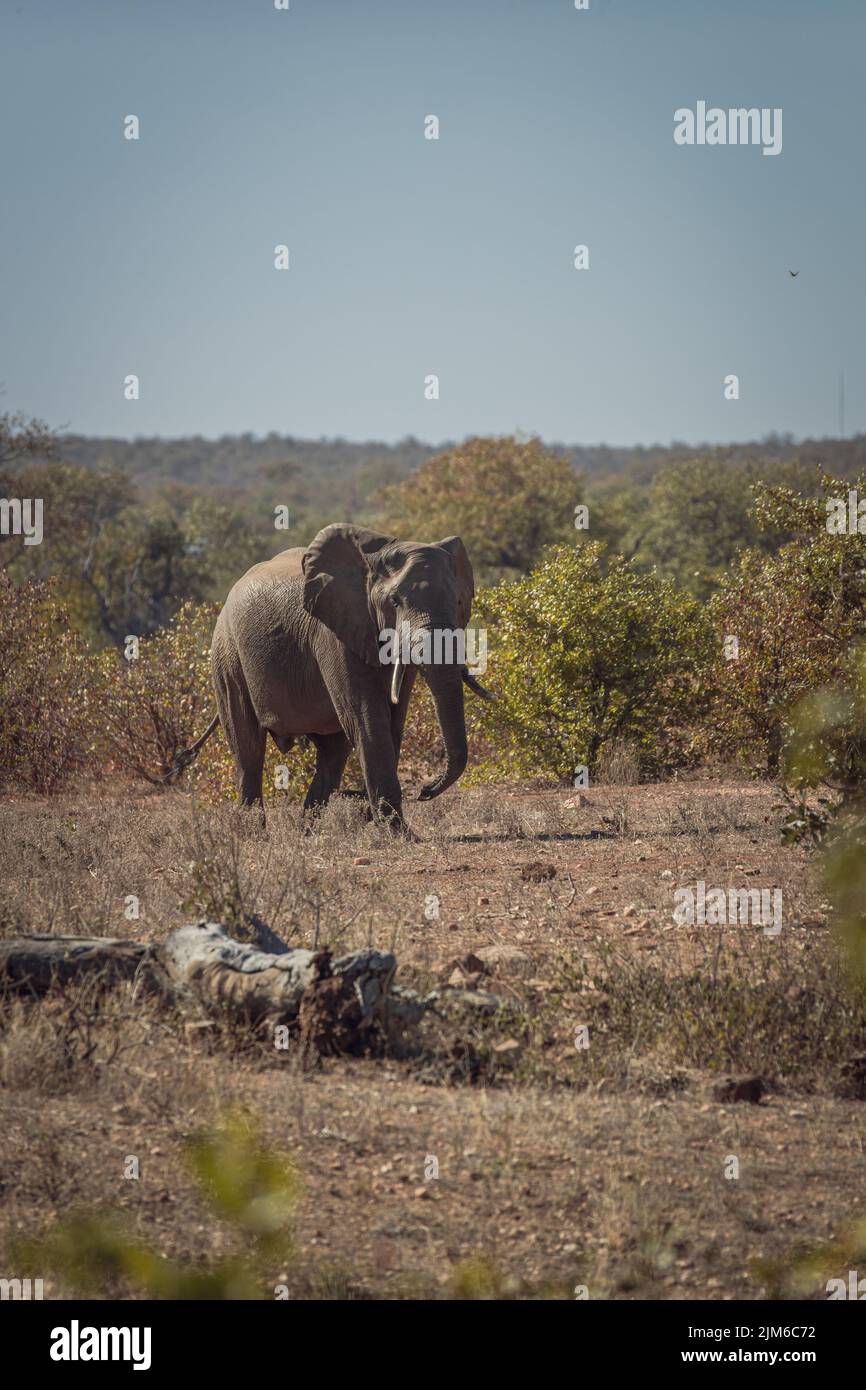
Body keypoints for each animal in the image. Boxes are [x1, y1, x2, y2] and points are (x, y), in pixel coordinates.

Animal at [171, 523, 494, 832]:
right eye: (395, 600)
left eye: (460, 601)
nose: (425, 790)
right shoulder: (333, 634)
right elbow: (366, 718)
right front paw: (401, 835)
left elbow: (392, 721)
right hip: (227, 654)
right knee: (247, 746)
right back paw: (254, 834)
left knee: (332, 753)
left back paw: (306, 832)